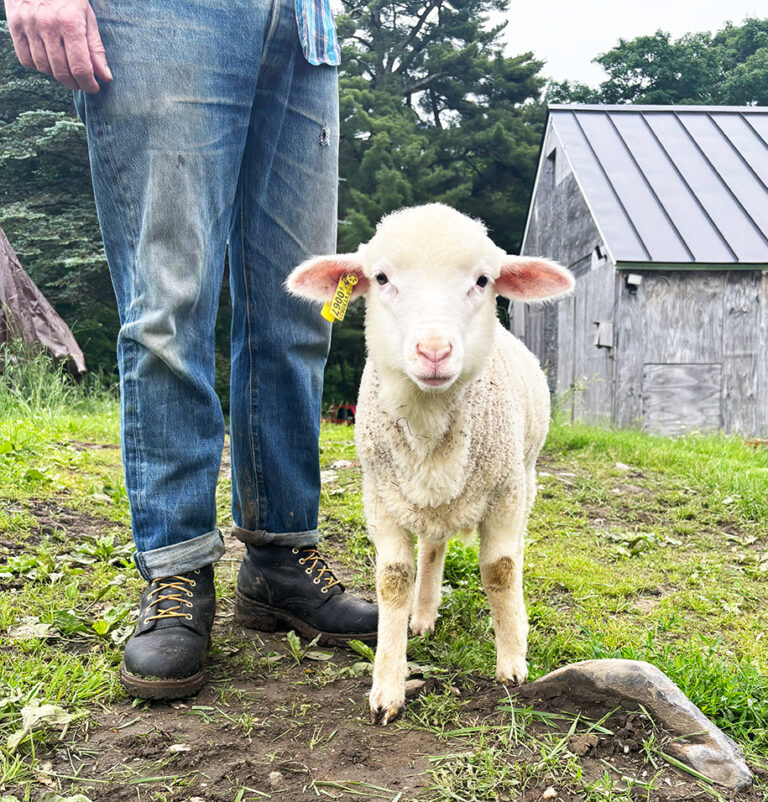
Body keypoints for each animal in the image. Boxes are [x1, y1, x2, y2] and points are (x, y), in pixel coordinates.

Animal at [287, 204, 574, 725]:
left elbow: (500, 570)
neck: (427, 419)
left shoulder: (504, 490)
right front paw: (387, 685)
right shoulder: (380, 497)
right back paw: (422, 615)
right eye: (381, 278)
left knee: (515, 550)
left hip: (525, 474)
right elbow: (393, 582)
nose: (434, 351)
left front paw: (512, 661)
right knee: (433, 548)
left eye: (482, 280)